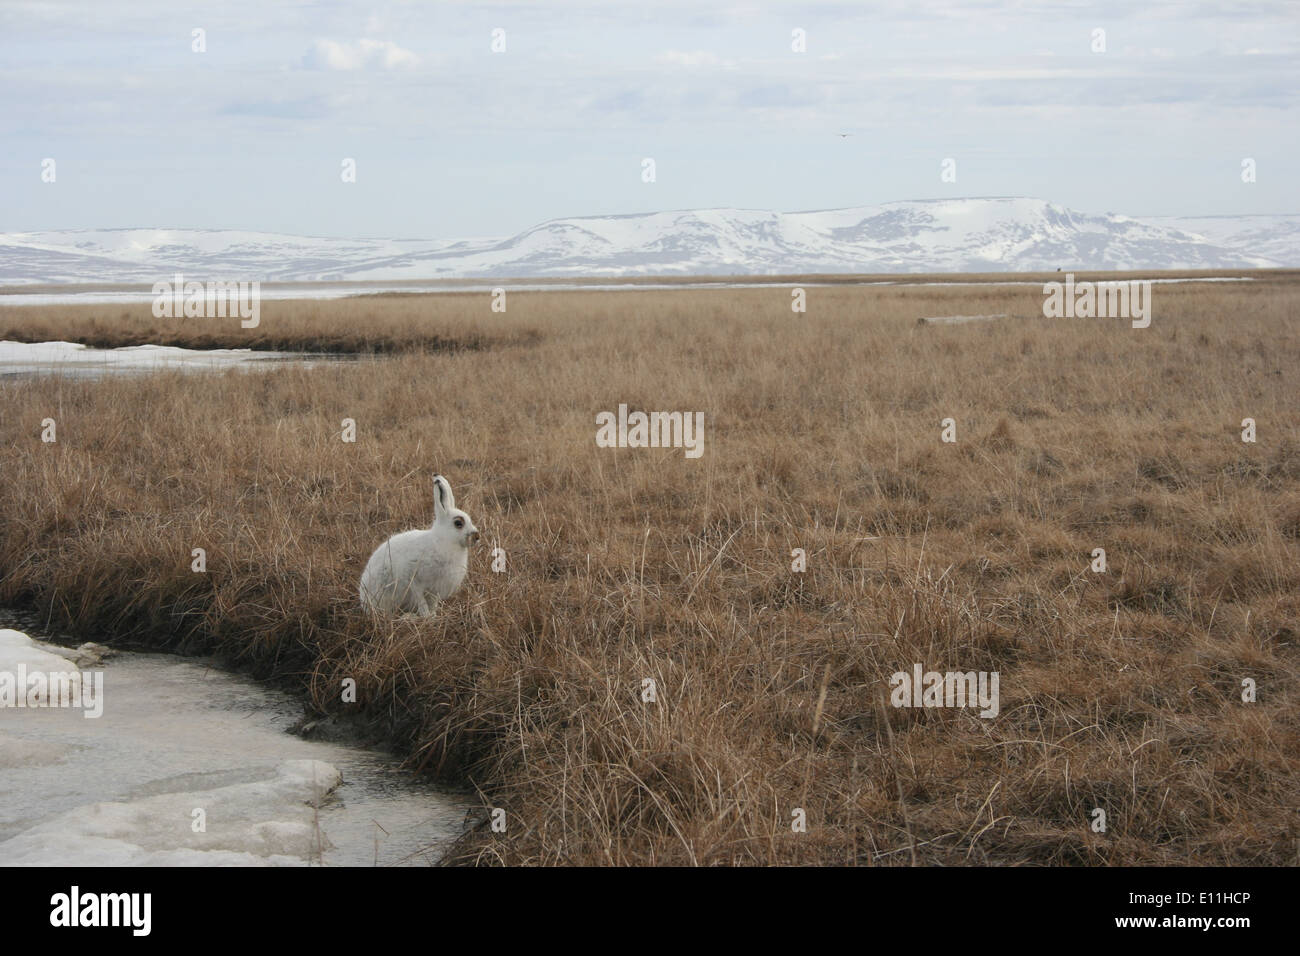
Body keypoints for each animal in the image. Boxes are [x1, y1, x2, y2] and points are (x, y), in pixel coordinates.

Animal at [359, 475, 480, 617]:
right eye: (458, 523)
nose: (477, 537)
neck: (444, 540)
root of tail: (362, 598)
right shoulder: (414, 580)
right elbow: (420, 601)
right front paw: (426, 617)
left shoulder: (434, 590)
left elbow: (433, 603)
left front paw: (433, 615)